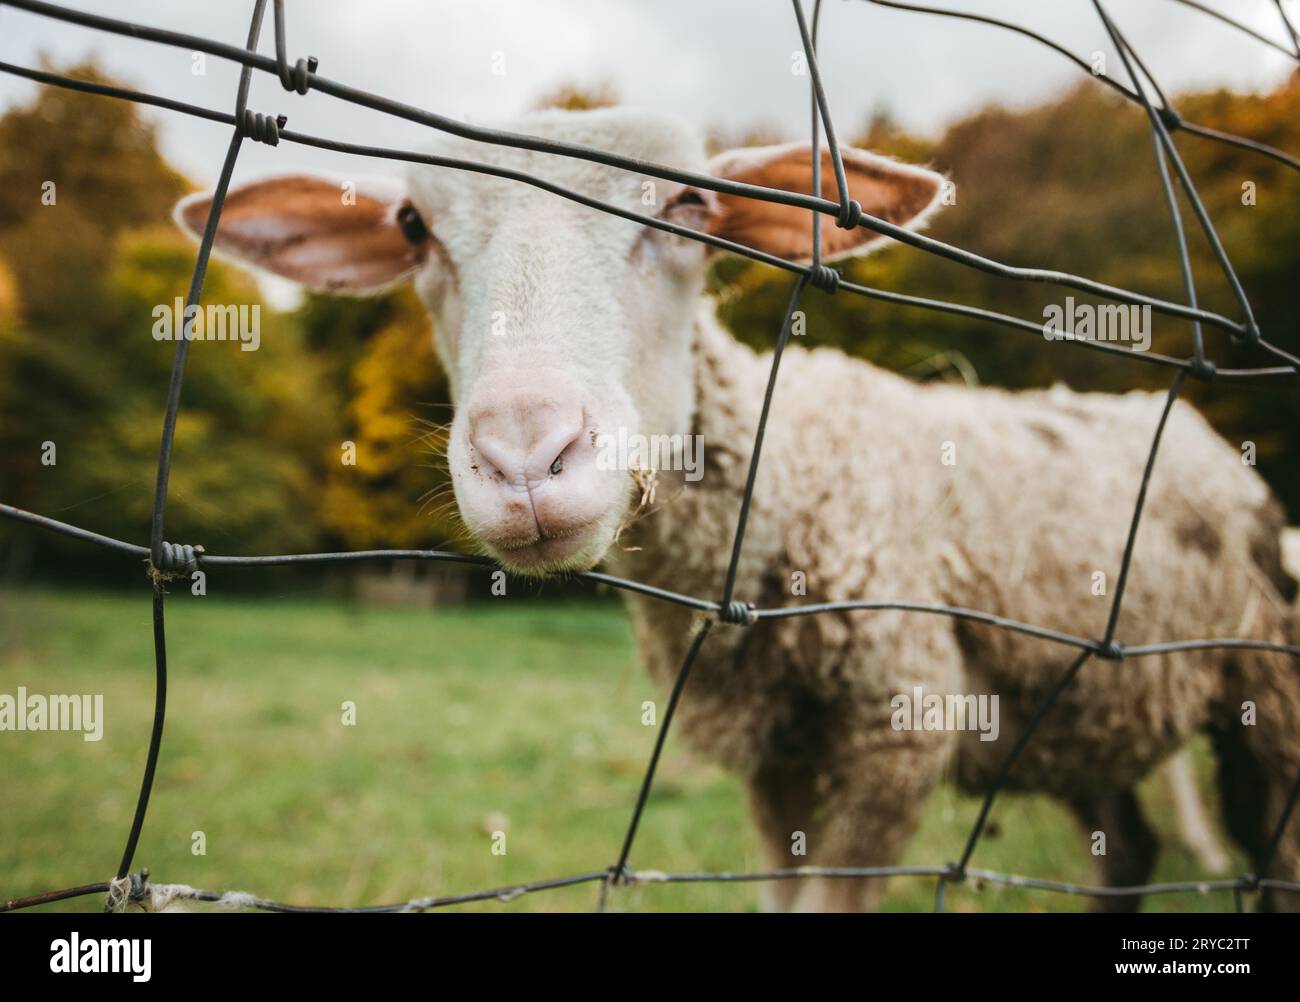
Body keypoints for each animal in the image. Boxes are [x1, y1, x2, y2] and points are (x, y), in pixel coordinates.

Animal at [175, 106, 1300, 912]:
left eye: (690, 205)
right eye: (412, 228)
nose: (525, 457)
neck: (785, 482)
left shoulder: (899, 727)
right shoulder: (773, 759)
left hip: (1262, 688)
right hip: (1089, 703)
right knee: (1130, 848)